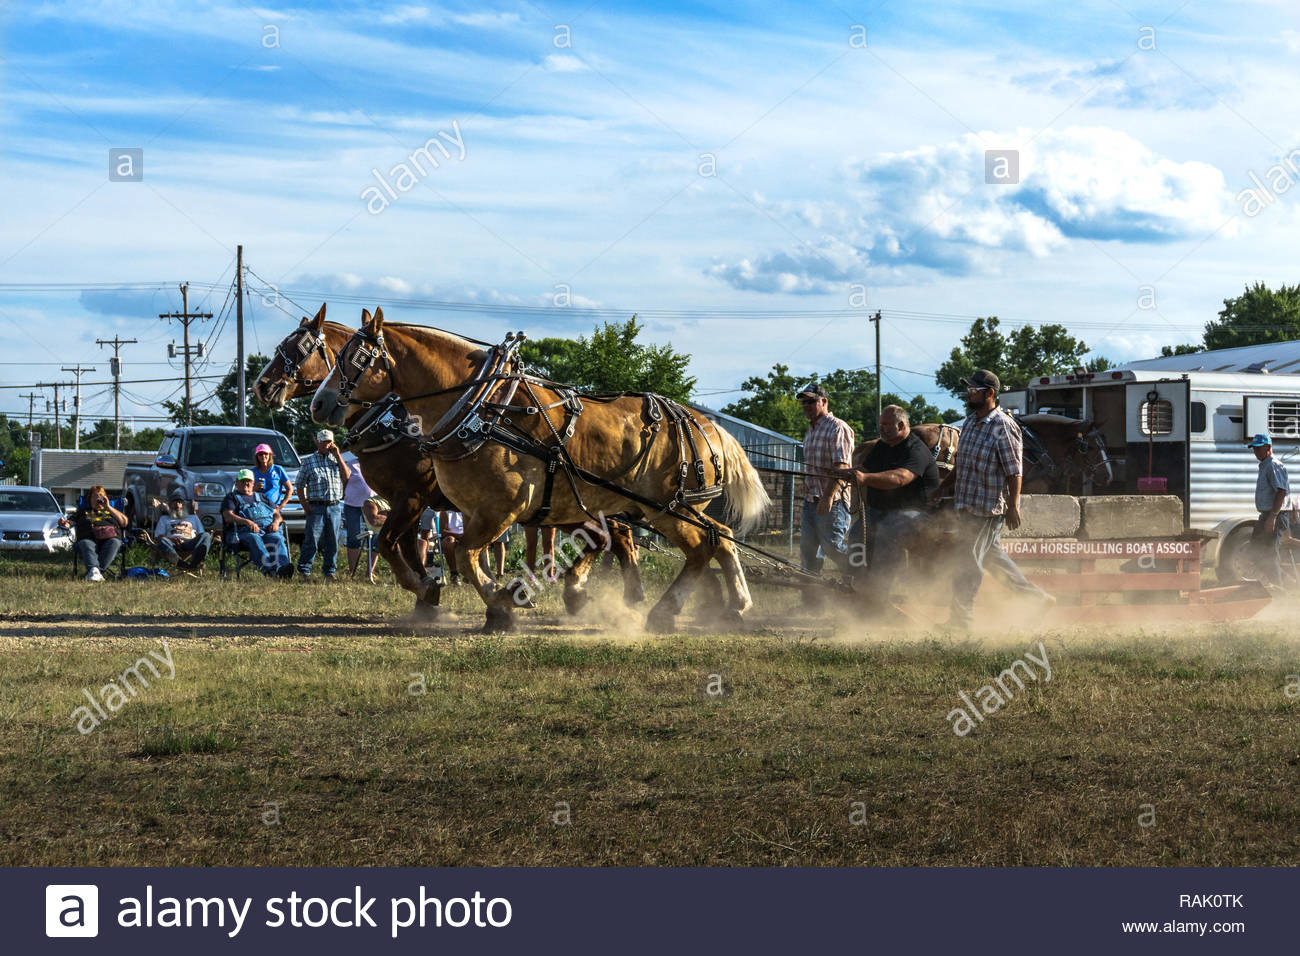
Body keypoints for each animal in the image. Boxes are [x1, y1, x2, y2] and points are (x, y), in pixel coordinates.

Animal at [253, 307, 648, 615]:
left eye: (300, 348)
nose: (261, 386)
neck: (394, 422)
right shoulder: (409, 502)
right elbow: (405, 547)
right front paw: (427, 592)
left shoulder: (413, 496)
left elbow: (390, 542)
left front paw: (428, 589)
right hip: (561, 505)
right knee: (614, 534)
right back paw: (606, 593)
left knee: (613, 533)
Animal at [309, 308, 771, 632]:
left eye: (355, 357)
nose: (319, 403)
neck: (480, 409)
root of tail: (704, 423)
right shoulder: (461, 508)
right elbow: (458, 554)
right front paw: (490, 601)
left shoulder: (496, 507)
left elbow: (464, 553)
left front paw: (501, 598)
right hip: (648, 507)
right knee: (718, 536)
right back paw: (734, 605)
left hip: (662, 508)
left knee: (698, 547)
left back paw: (665, 611)